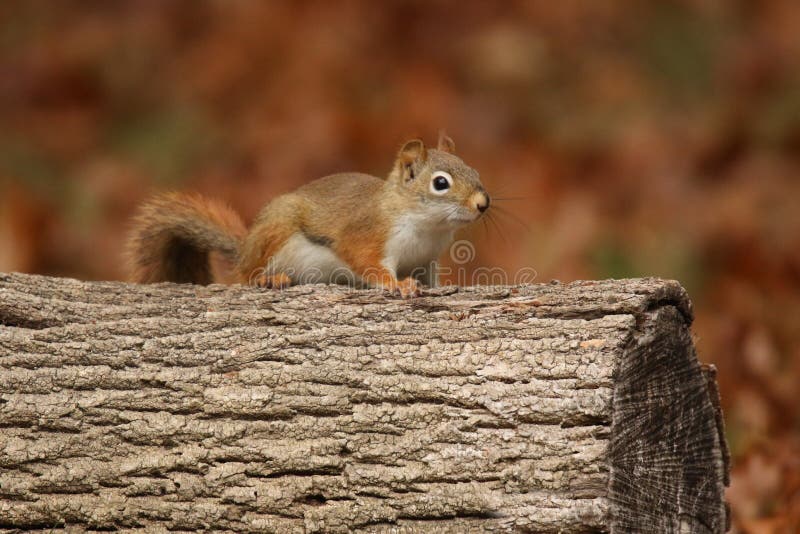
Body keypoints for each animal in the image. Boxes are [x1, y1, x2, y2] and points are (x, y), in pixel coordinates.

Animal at [126, 133, 489, 298]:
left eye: (474, 170)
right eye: (440, 183)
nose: (483, 203)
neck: (427, 226)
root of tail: (244, 250)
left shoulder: (425, 259)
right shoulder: (367, 235)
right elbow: (367, 263)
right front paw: (397, 284)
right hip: (276, 232)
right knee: (244, 277)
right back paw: (267, 279)